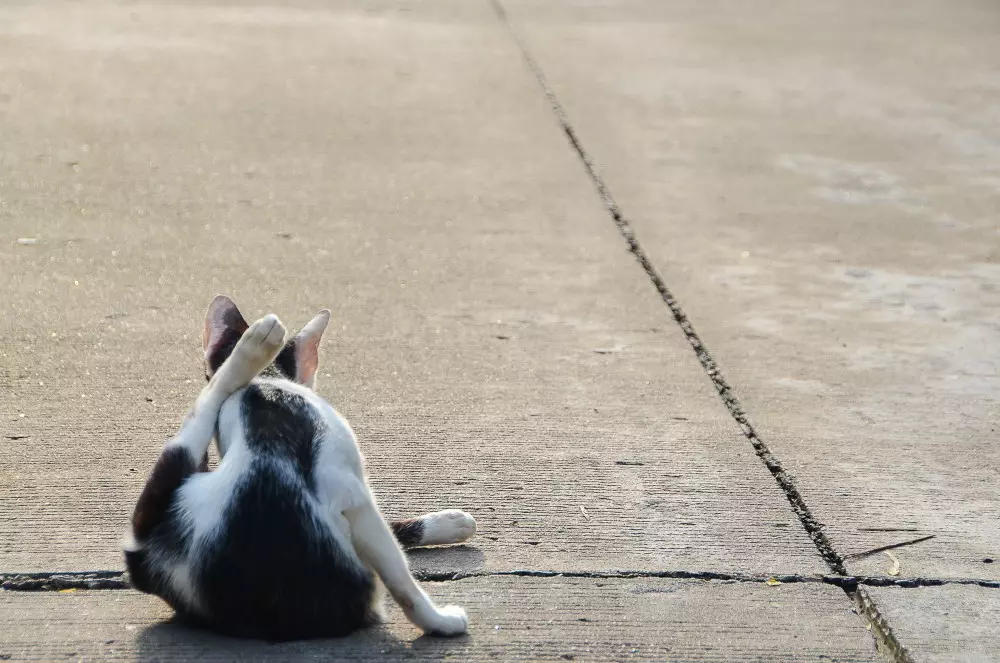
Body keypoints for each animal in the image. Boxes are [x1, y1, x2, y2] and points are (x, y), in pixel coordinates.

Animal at [124, 296, 476, 640]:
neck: (266, 381)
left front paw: (451, 524)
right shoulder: (353, 490)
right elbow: (400, 573)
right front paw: (439, 620)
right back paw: (256, 346)